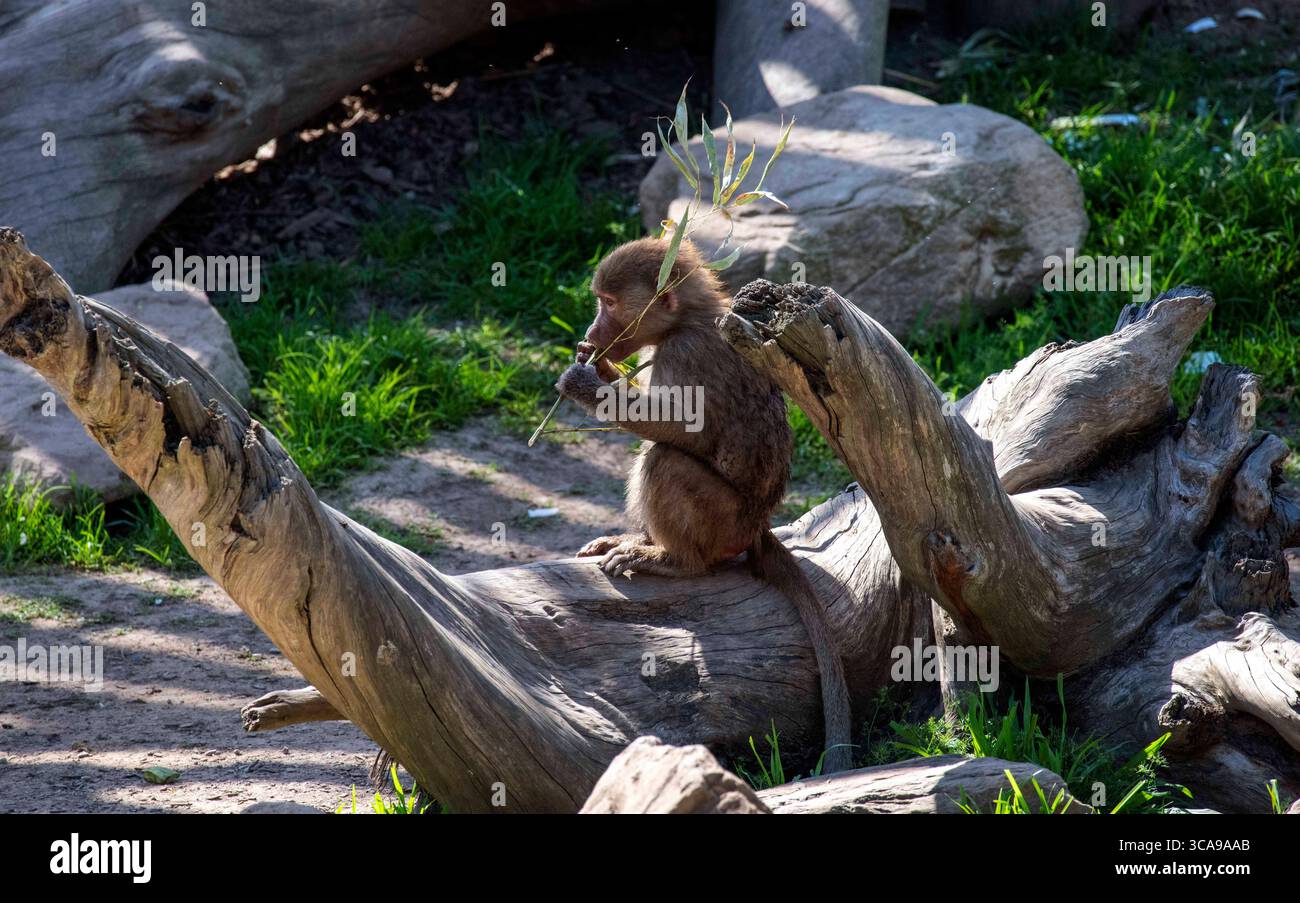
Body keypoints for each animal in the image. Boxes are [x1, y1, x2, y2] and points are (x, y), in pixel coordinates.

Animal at [555, 236, 853, 773]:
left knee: (664, 459)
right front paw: (601, 365)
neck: (687, 321)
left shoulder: (686, 353)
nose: (591, 332)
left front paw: (586, 383)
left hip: (725, 524)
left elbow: (679, 428)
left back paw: (672, 560)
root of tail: (758, 525)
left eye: (609, 303)